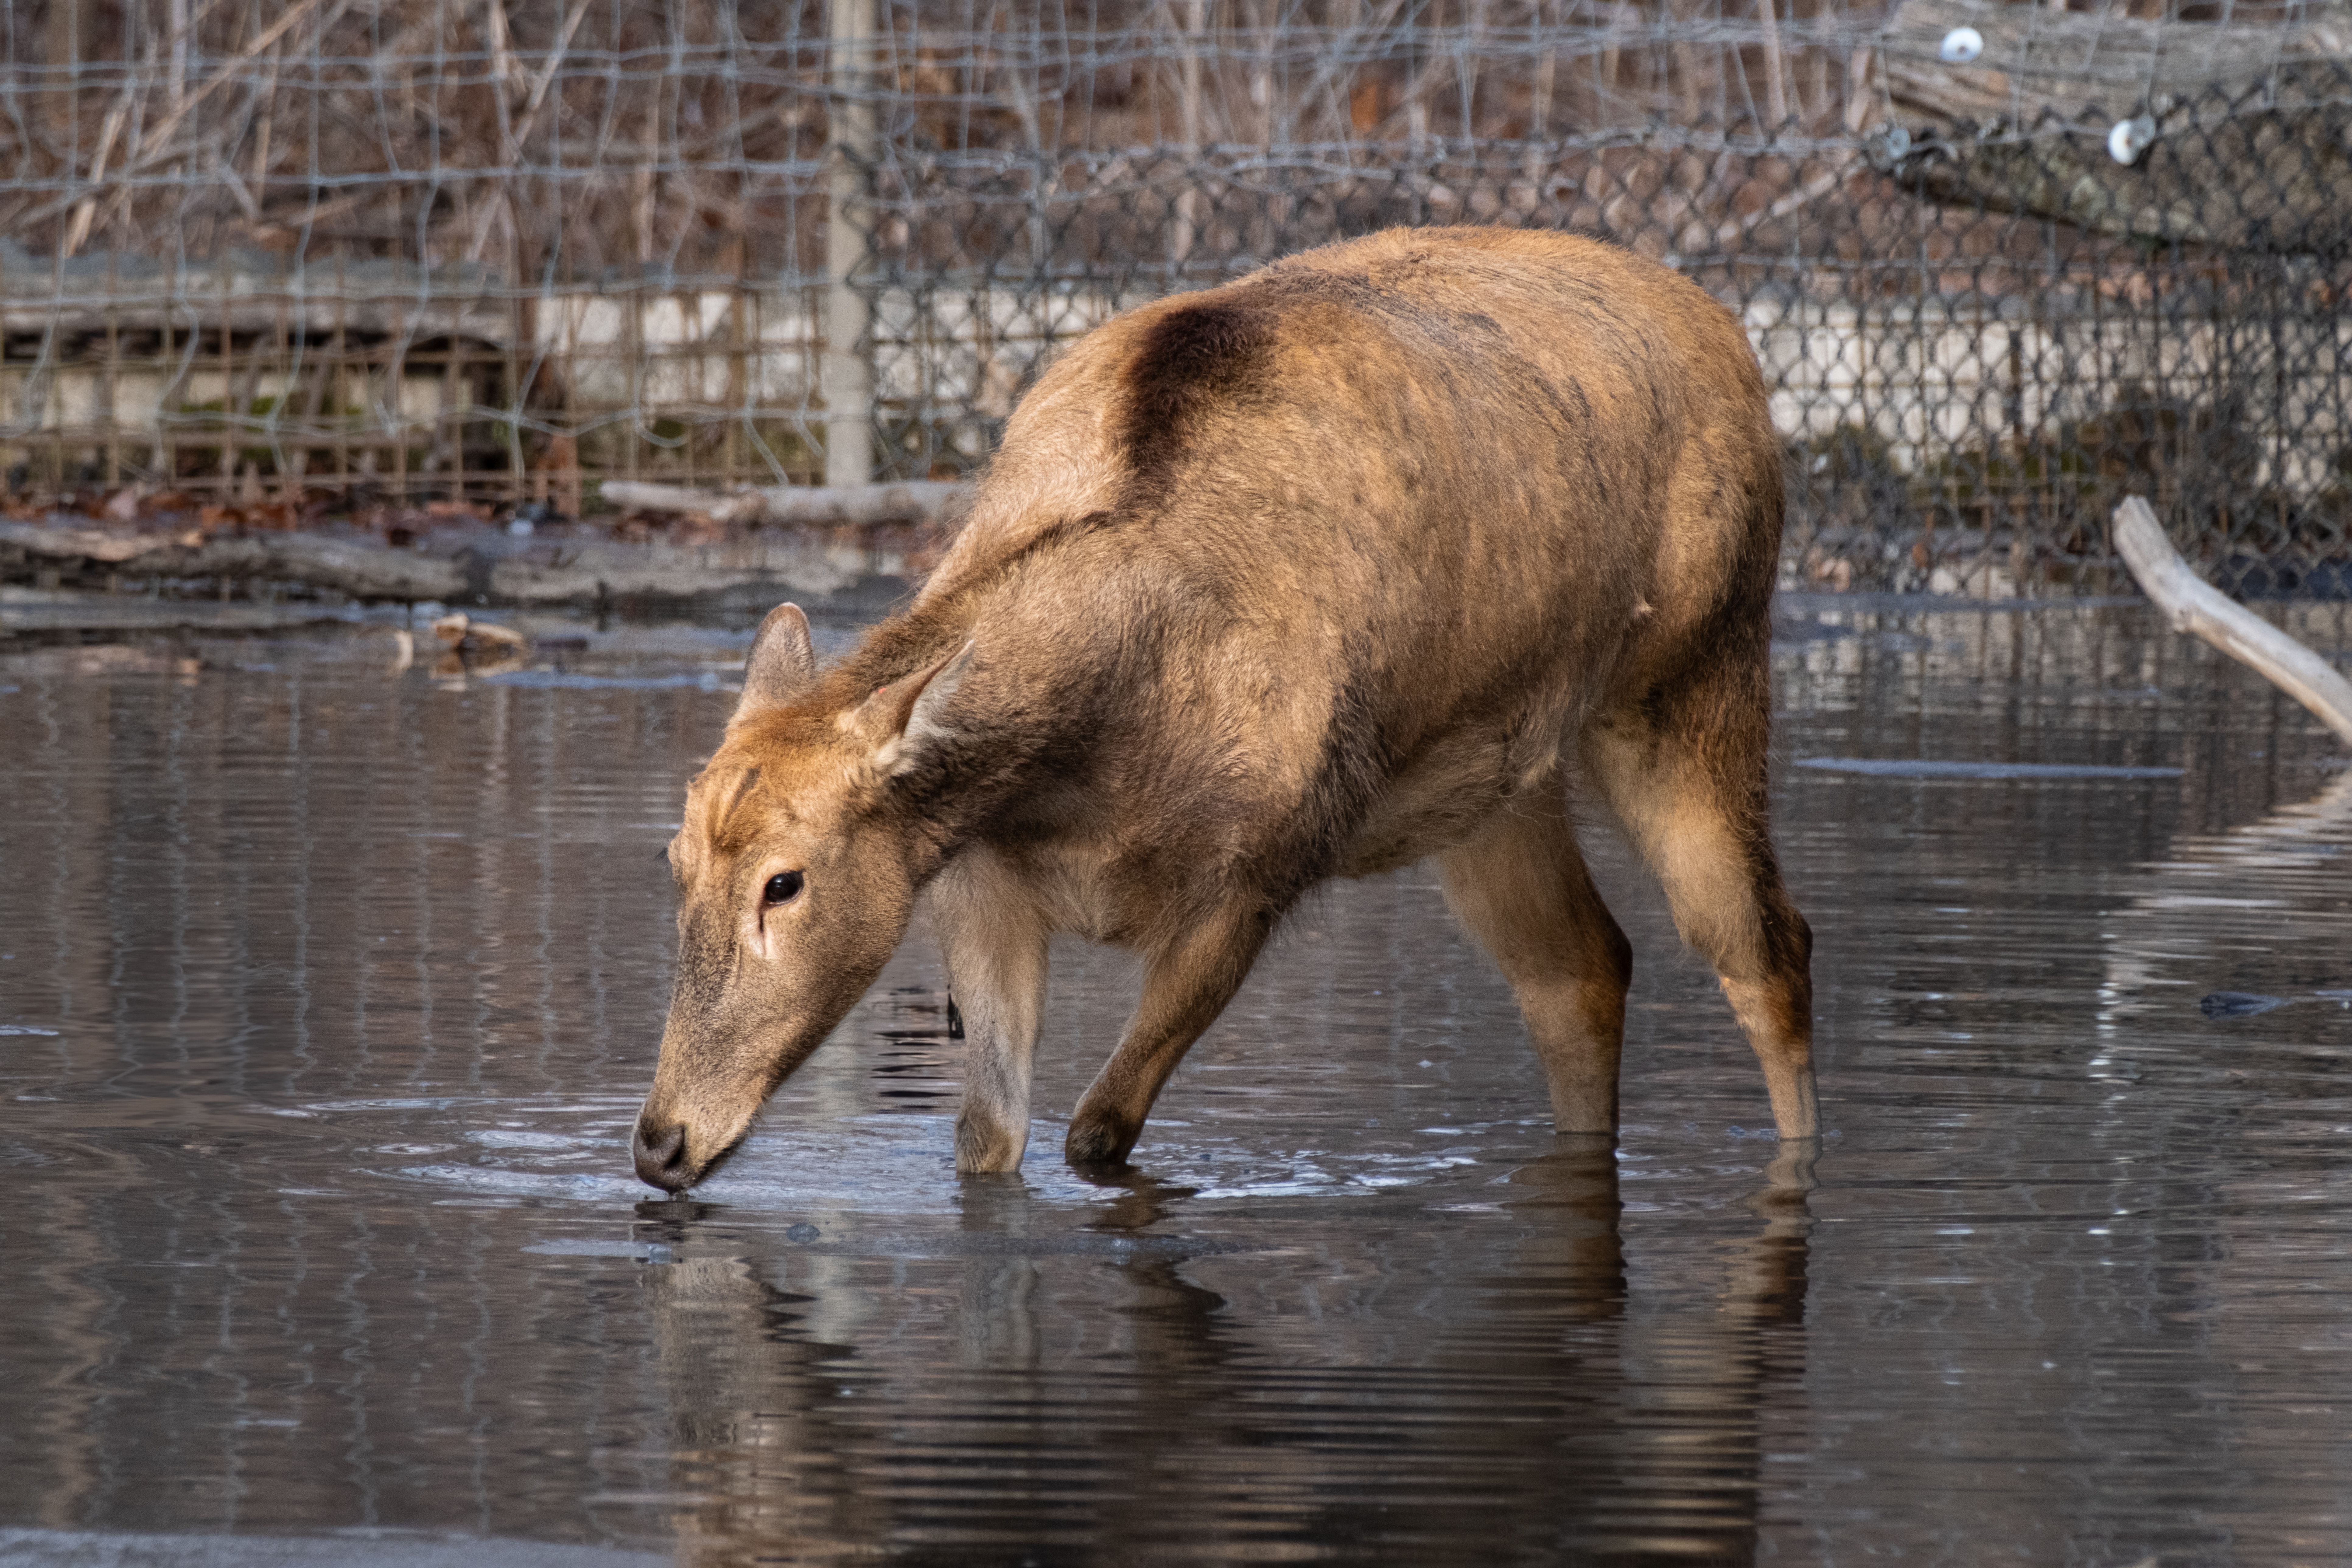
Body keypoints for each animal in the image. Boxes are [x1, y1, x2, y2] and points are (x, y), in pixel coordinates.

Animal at [630, 226, 1817, 1193]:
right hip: (1491, 784)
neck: (1092, 760)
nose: (659, 1142)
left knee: (1763, 944)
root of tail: (1729, 334)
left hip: (1691, 672)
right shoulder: (978, 877)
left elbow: (1097, 1131)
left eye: (785, 882)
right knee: (1581, 967)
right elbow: (988, 1142)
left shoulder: (1262, 871)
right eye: (673, 862)